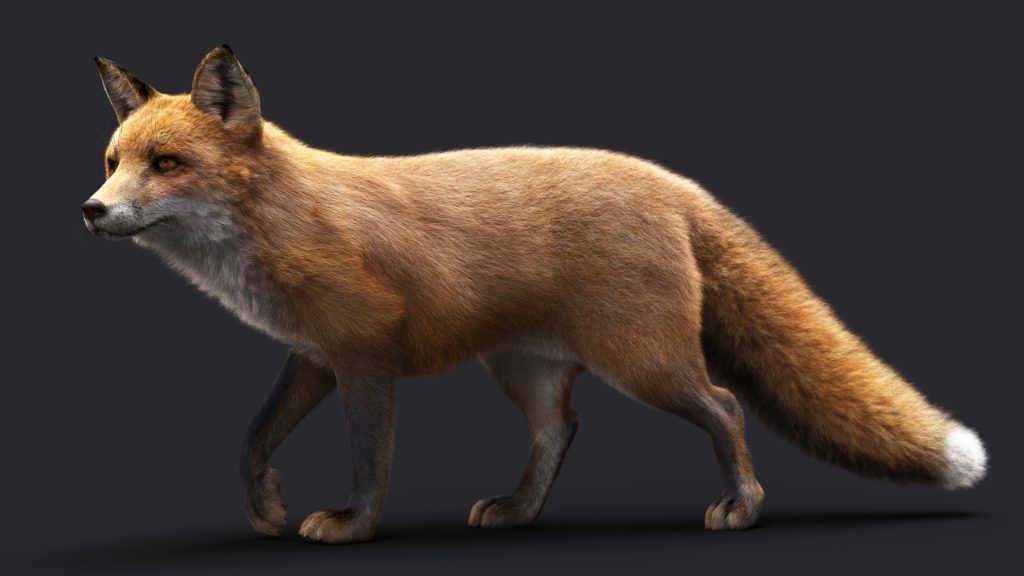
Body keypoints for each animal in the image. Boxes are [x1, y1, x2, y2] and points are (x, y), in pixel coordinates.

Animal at [84, 45, 987, 544]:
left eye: (167, 164)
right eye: (112, 162)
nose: (91, 211)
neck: (283, 222)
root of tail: (675, 182)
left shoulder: (367, 358)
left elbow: (370, 461)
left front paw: (353, 528)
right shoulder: (313, 356)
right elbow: (250, 442)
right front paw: (266, 512)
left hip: (645, 363)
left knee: (726, 406)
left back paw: (742, 506)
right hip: (526, 369)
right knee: (562, 430)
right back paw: (519, 510)